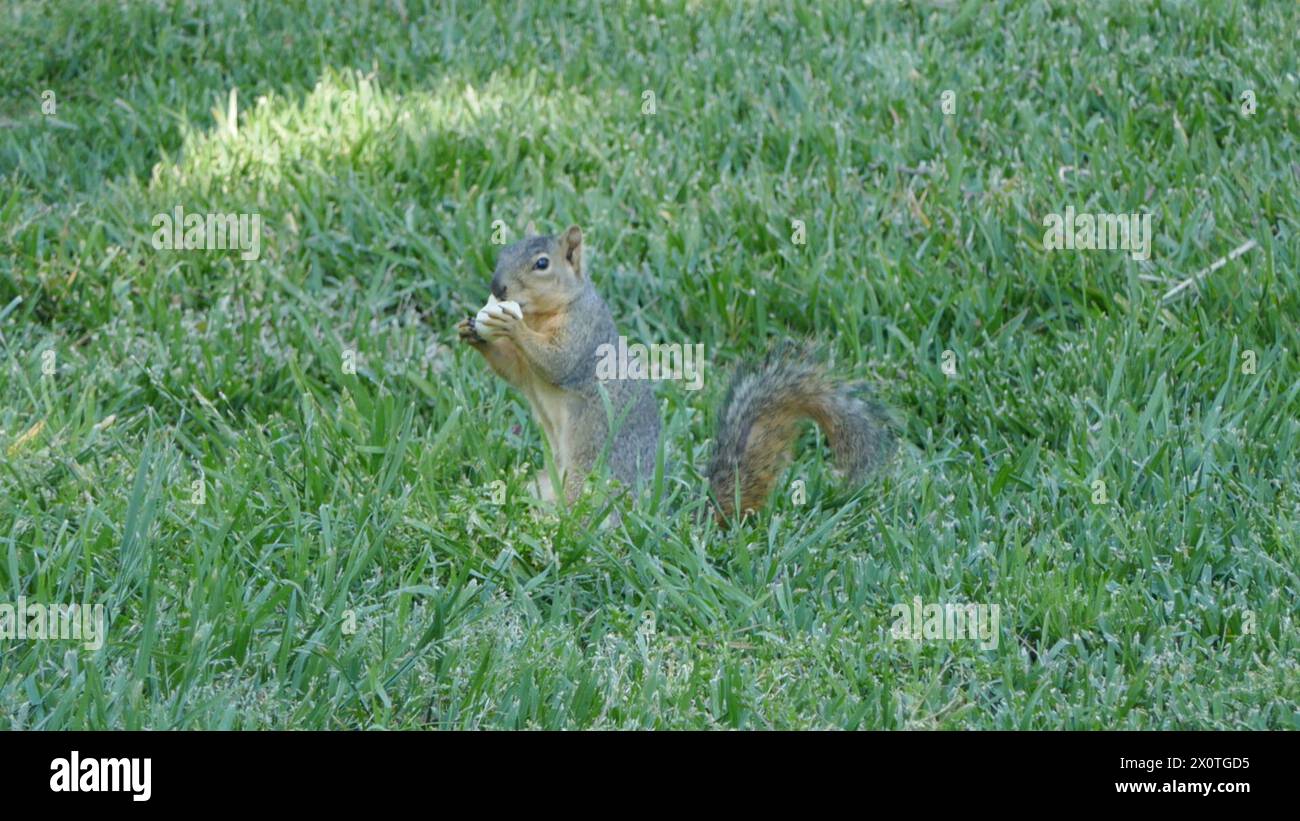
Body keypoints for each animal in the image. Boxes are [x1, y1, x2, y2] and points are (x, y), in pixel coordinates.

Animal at [456, 224, 897, 522]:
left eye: (542, 264)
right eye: (503, 252)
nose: (498, 286)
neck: (547, 312)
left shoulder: (585, 335)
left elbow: (558, 362)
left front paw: (508, 325)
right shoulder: (524, 370)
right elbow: (514, 372)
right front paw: (472, 331)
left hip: (591, 482)